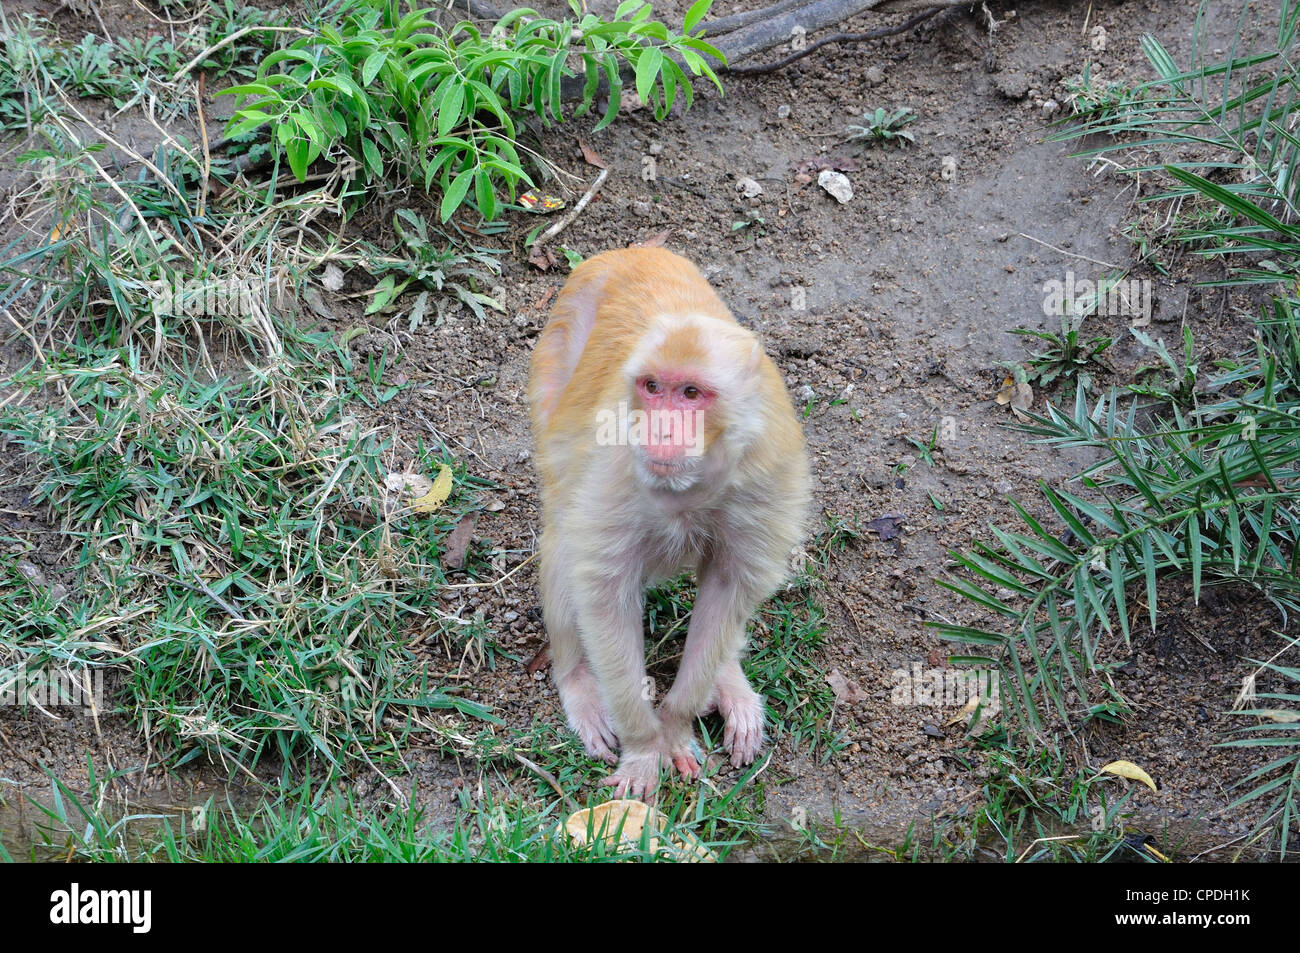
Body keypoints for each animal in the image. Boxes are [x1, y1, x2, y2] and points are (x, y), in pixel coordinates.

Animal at [528, 246, 811, 799]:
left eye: (691, 393)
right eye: (653, 388)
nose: (659, 429)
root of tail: (627, 251)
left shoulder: (768, 469)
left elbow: (729, 586)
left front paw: (676, 727)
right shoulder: (616, 462)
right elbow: (604, 591)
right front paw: (644, 748)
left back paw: (727, 680)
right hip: (555, 358)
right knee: (565, 535)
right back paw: (579, 682)